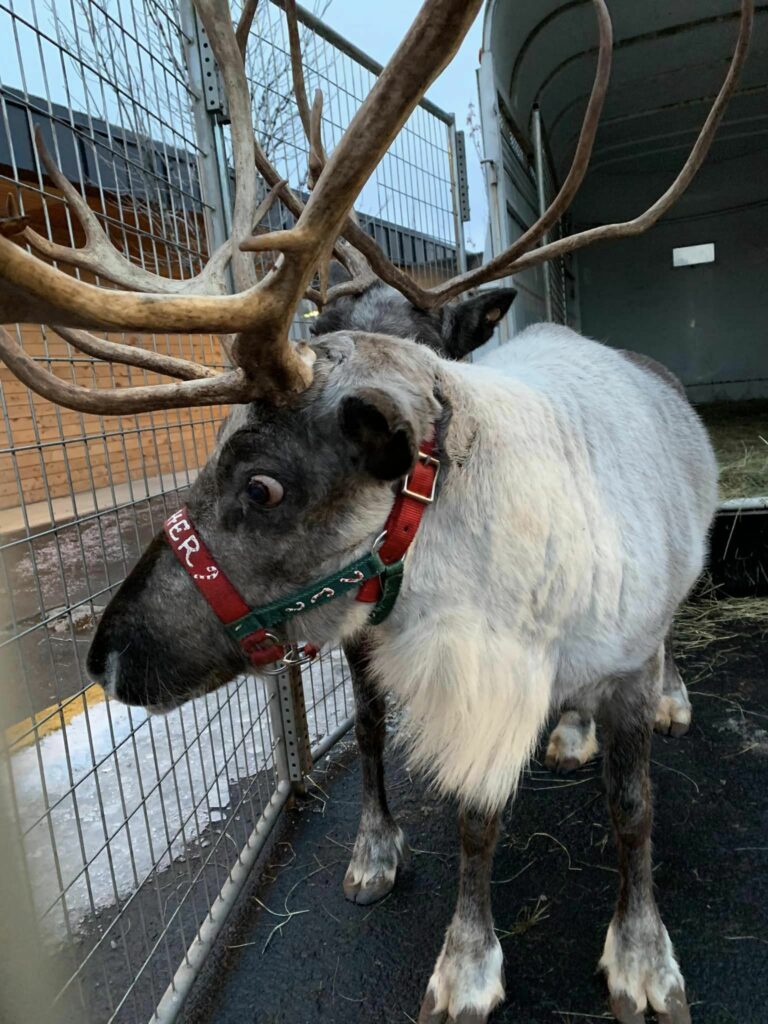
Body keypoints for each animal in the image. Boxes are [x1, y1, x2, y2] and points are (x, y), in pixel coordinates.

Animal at [0, 1, 753, 1021]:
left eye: (264, 485)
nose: (106, 656)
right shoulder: (468, 684)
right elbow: (474, 821)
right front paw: (467, 963)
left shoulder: (616, 659)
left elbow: (634, 814)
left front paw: (642, 959)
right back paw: (566, 730)